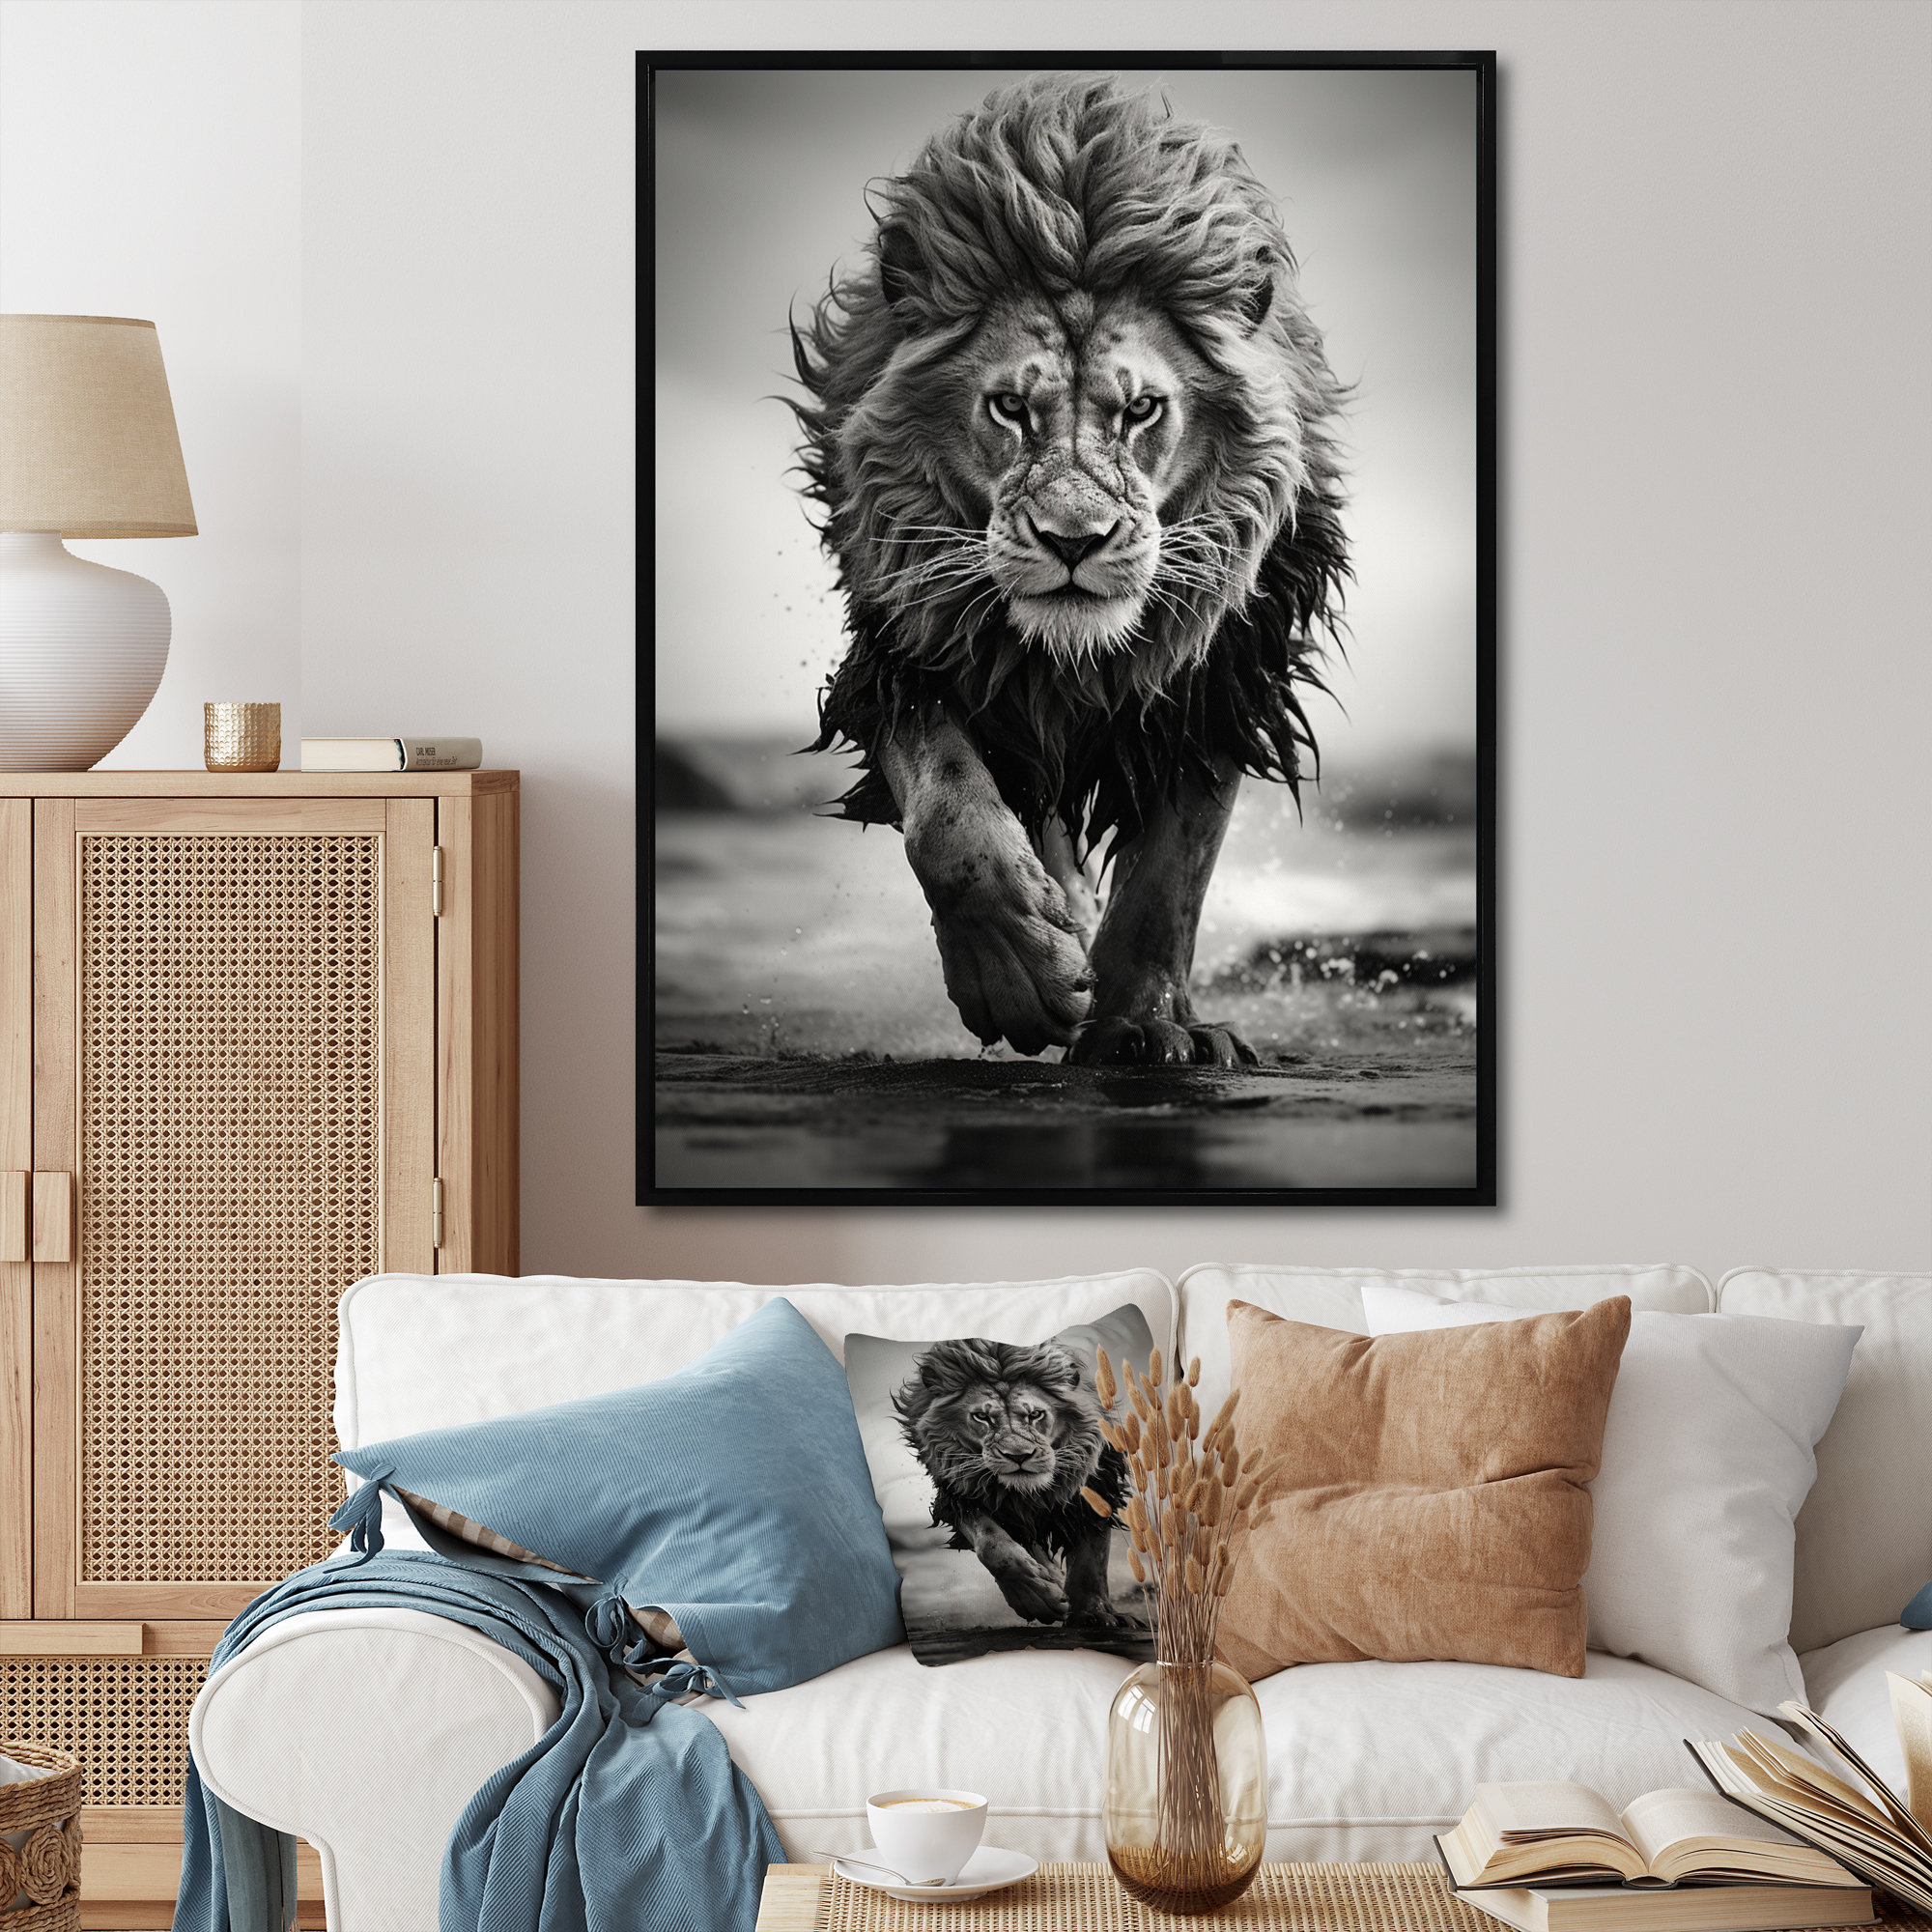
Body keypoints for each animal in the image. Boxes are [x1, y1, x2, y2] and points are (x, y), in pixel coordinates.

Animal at [790, 74, 1349, 1067]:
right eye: (1010, 408)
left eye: (1141, 410)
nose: (1073, 540)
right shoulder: (907, 650)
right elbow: (951, 817)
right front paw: (1016, 974)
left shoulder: (1220, 678)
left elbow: (1169, 880)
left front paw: (1143, 1025)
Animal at [893, 1336, 1133, 1627]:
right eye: (982, 1417)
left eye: (1035, 1415)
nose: (1019, 1456)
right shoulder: (960, 1495)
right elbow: (993, 1547)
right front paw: (1036, 1598)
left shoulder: (1096, 1488)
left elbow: (1090, 1559)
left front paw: (1093, 1614)